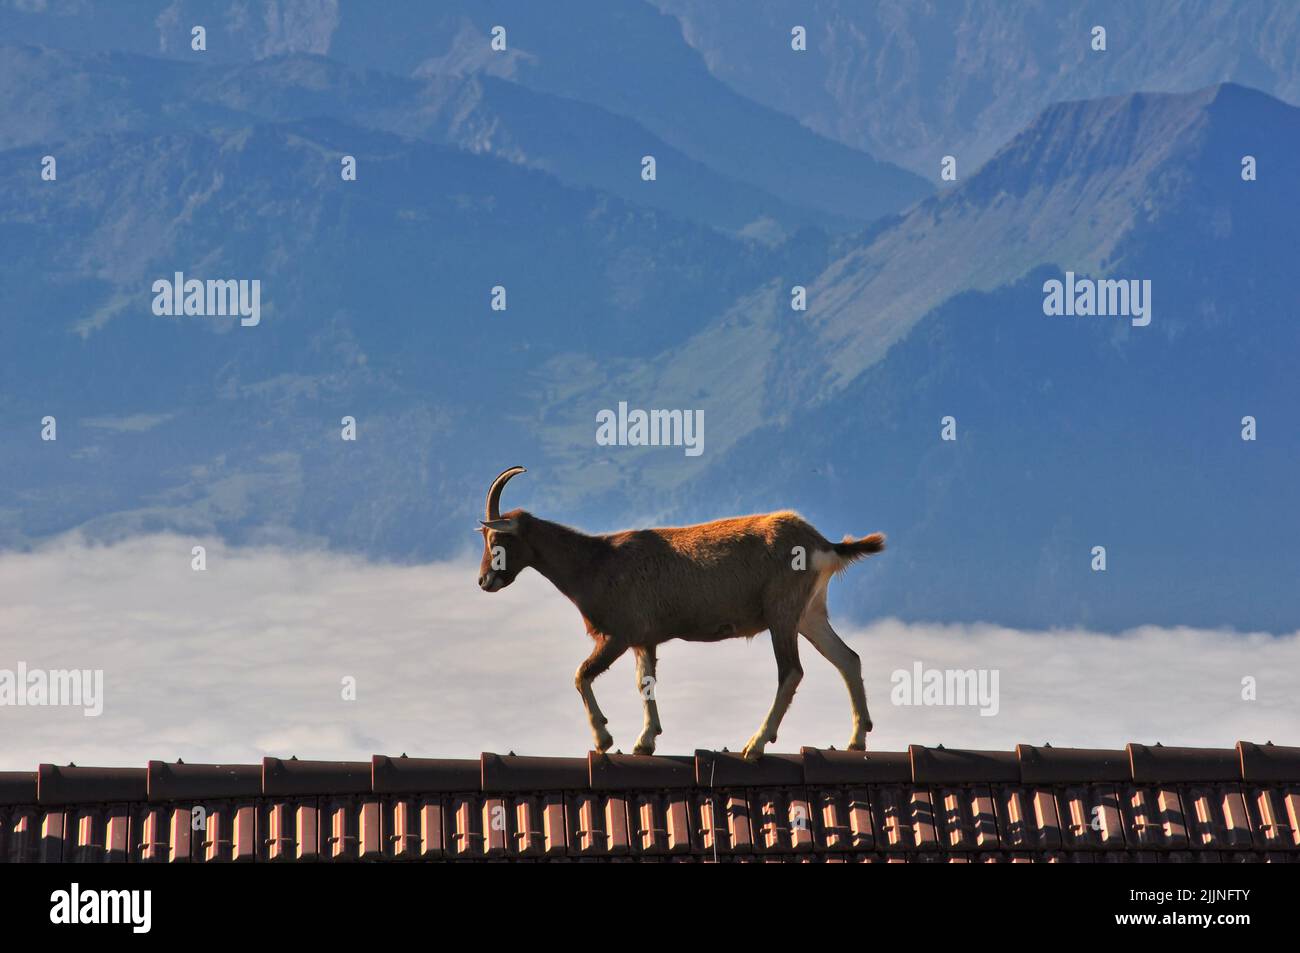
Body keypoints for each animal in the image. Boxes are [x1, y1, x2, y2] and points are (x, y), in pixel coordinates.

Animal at [476, 466, 886, 760]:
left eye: (497, 539)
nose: (483, 581)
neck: (595, 562)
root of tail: (822, 544)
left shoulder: (619, 634)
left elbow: (581, 674)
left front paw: (604, 737)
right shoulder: (644, 640)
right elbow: (645, 683)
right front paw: (645, 741)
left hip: (781, 612)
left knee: (791, 671)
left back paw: (755, 744)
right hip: (809, 614)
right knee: (847, 658)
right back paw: (856, 739)